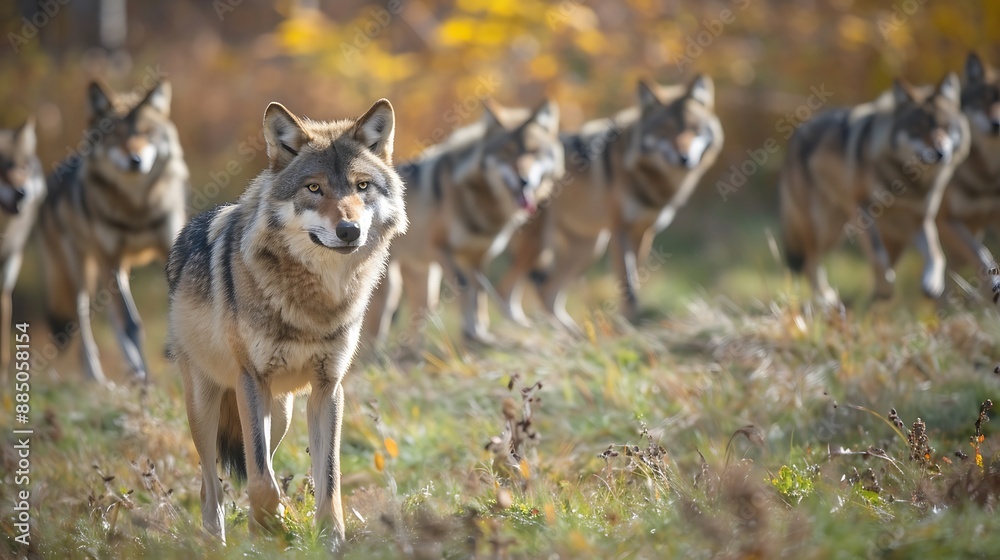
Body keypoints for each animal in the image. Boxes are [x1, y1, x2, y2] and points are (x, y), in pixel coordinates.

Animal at [38, 80, 189, 383]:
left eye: (145, 133)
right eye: (115, 136)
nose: (135, 159)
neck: (138, 209)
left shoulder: (167, 249)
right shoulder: (113, 261)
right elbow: (132, 324)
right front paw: (148, 381)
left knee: (112, 317)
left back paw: (132, 373)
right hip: (81, 275)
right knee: (84, 323)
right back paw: (99, 378)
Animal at [166, 99, 406, 549]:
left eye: (362, 186)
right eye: (313, 188)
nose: (349, 230)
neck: (314, 303)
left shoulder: (328, 388)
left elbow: (327, 477)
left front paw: (329, 539)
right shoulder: (251, 380)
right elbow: (262, 481)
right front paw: (272, 527)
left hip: (281, 415)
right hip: (207, 406)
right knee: (211, 485)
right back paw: (217, 544)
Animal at [364, 100, 562, 348]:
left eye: (533, 152)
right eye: (506, 153)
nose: (524, 181)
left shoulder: (478, 257)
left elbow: (480, 296)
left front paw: (479, 335)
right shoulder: (442, 249)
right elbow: (466, 289)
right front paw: (471, 333)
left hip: (423, 280)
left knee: (420, 313)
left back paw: (414, 350)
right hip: (388, 286)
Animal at [495, 76, 722, 332]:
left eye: (693, 130)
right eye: (665, 131)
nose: (684, 158)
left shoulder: (643, 232)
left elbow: (634, 280)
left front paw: (631, 322)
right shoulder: (619, 230)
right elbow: (628, 285)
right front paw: (629, 325)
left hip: (589, 249)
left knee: (547, 292)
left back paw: (572, 332)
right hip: (540, 246)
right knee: (505, 290)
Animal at [780, 73, 969, 304]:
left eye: (947, 128)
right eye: (918, 129)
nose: (940, 153)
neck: (908, 183)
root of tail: (798, 131)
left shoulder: (920, 219)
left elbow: (936, 254)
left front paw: (932, 284)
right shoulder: (863, 210)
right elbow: (879, 257)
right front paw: (886, 289)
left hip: (836, 231)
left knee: (812, 261)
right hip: (824, 227)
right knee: (810, 262)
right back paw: (826, 300)